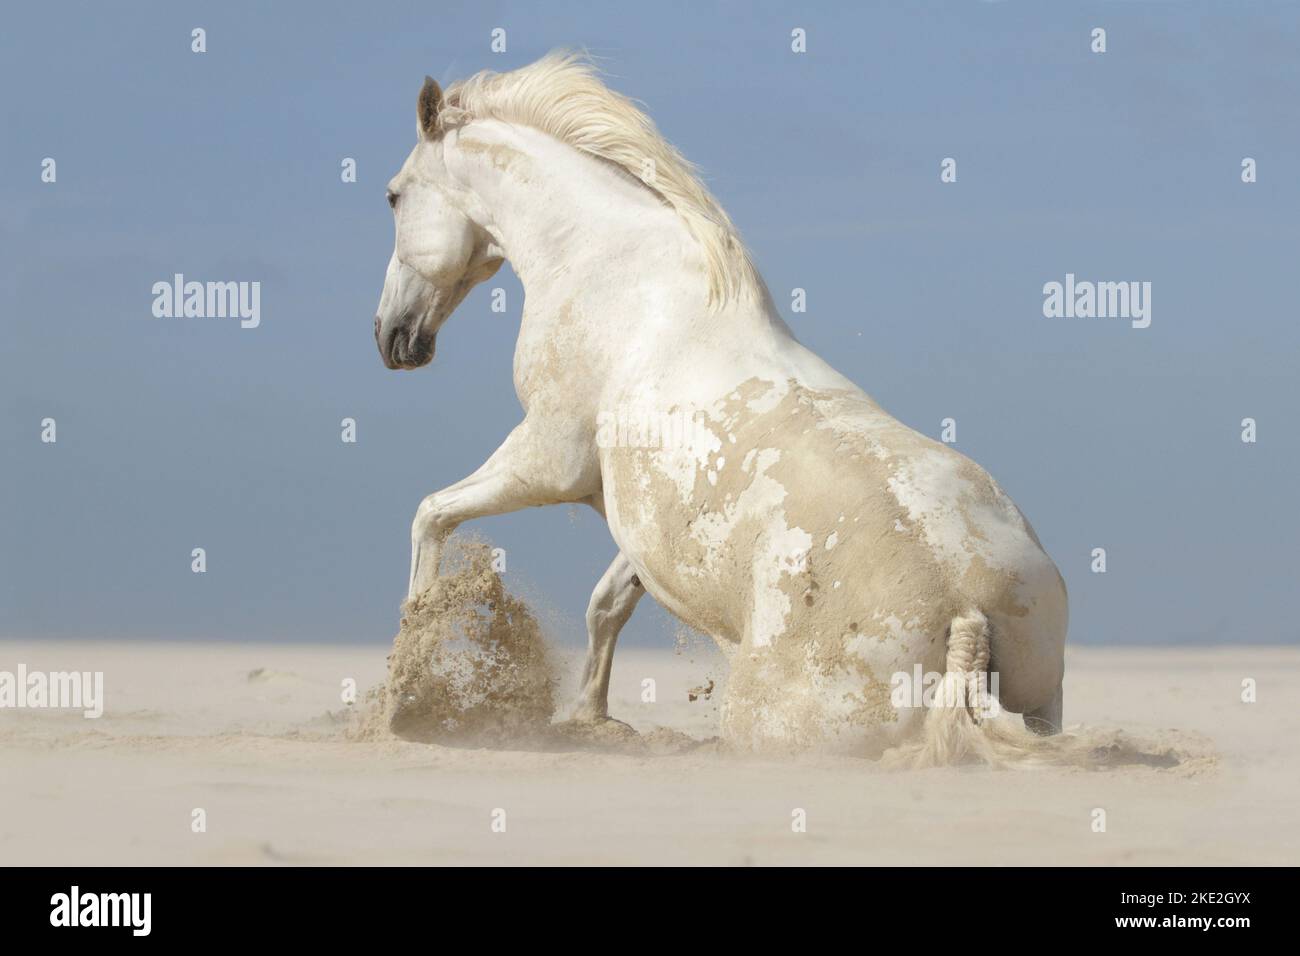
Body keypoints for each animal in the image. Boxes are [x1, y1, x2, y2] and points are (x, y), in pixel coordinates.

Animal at [371, 53, 1068, 763]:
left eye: (393, 196)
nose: (390, 337)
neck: (611, 271)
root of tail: (967, 612)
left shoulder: (545, 461)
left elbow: (431, 517)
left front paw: (403, 696)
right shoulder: (629, 516)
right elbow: (606, 603)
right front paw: (589, 718)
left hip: (773, 722)